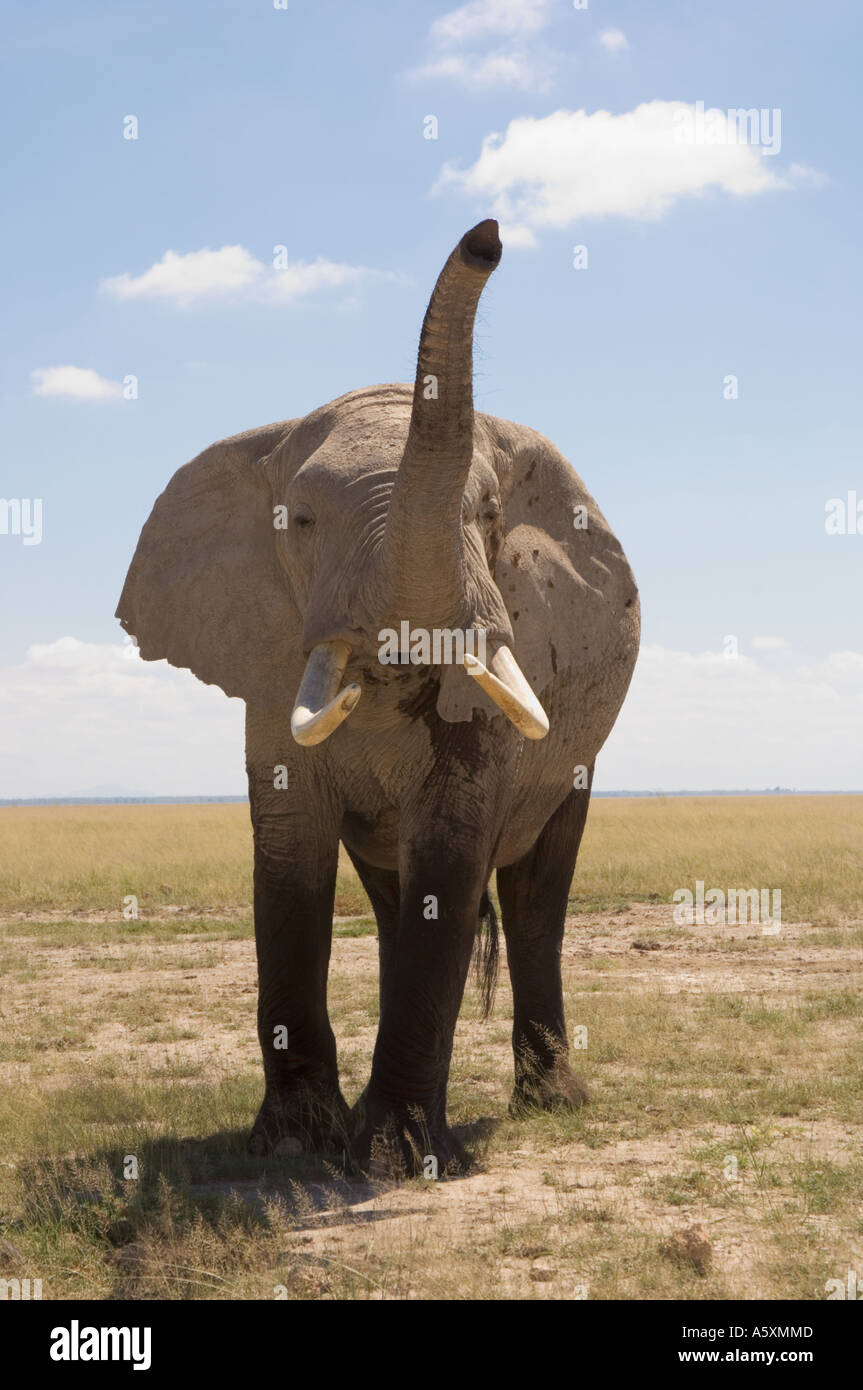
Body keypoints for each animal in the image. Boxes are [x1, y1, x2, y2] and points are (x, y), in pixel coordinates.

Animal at [116, 219, 640, 1176]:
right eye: (299, 522)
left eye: (485, 515)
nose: (487, 237)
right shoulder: (269, 664)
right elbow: (290, 869)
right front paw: (293, 1146)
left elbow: (454, 849)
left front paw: (392, 1160)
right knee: (400, 903)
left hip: (577, 762)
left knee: (534, 895)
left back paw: (548, 1102)